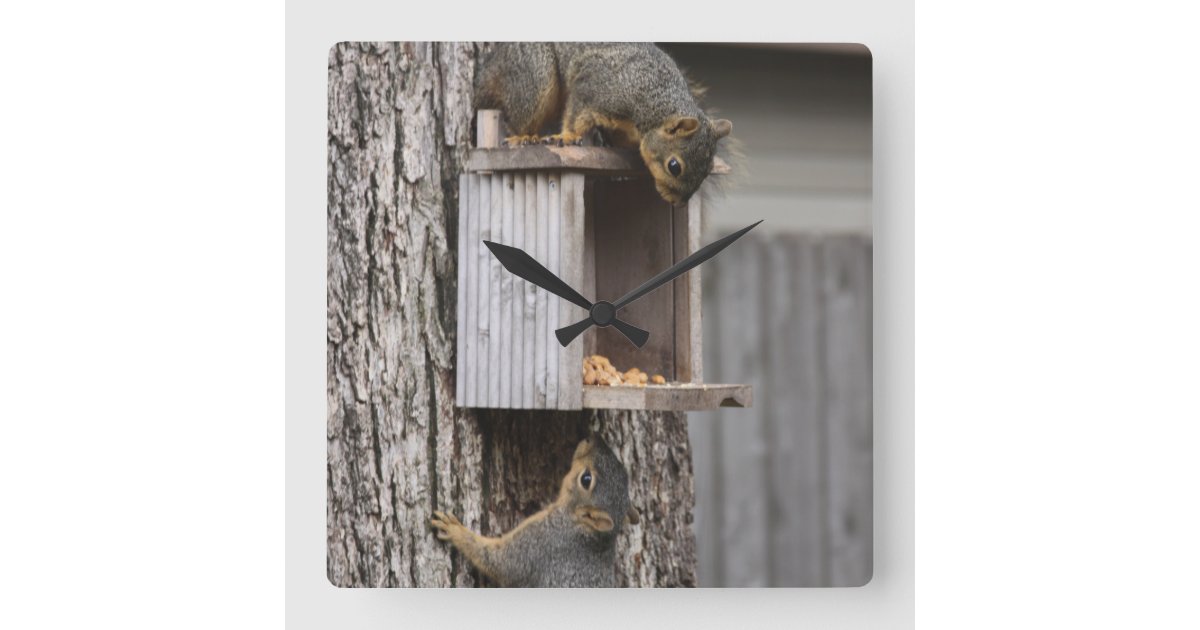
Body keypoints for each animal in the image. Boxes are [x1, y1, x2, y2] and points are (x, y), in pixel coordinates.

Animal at [430, 436, 638, 587]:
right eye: (624, 472)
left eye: (586, 479)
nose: (593, 438)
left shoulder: (541, 542)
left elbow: (500, 562)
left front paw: (454, 529)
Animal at [473, 42, 733, 205]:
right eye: (674, 166)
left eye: (709, 169)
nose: (679, 204)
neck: (654, 100)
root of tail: (491, 65)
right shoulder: (594, 90)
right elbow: (576, 114)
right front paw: (567, 136)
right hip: (535, 74)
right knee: (519, 115)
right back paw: (524, 136)